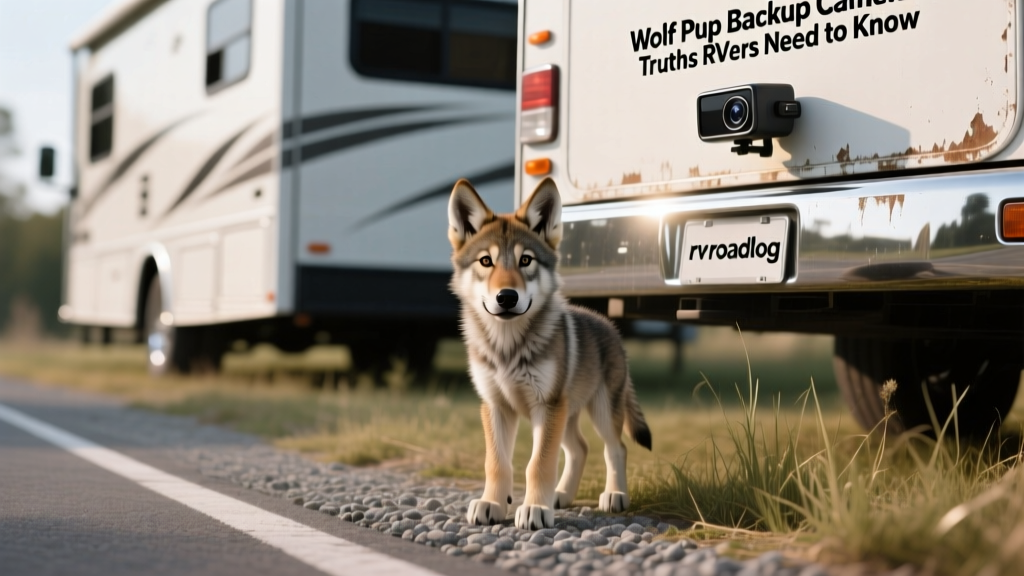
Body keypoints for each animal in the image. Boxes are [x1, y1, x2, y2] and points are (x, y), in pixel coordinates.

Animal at [447, 177, 652, 530]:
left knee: (616, 449)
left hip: (598, 411)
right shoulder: (496, 407)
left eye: (526, 260)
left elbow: (537, 464)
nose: (506, 296)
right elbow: (497, 463)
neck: (508, 348)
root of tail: (610, 326)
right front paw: (492, 504)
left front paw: (534, 509)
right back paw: (562, 495)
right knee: (580, 449)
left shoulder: (547, 407)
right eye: (486, 261)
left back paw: (614, 495)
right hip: (566, 416)